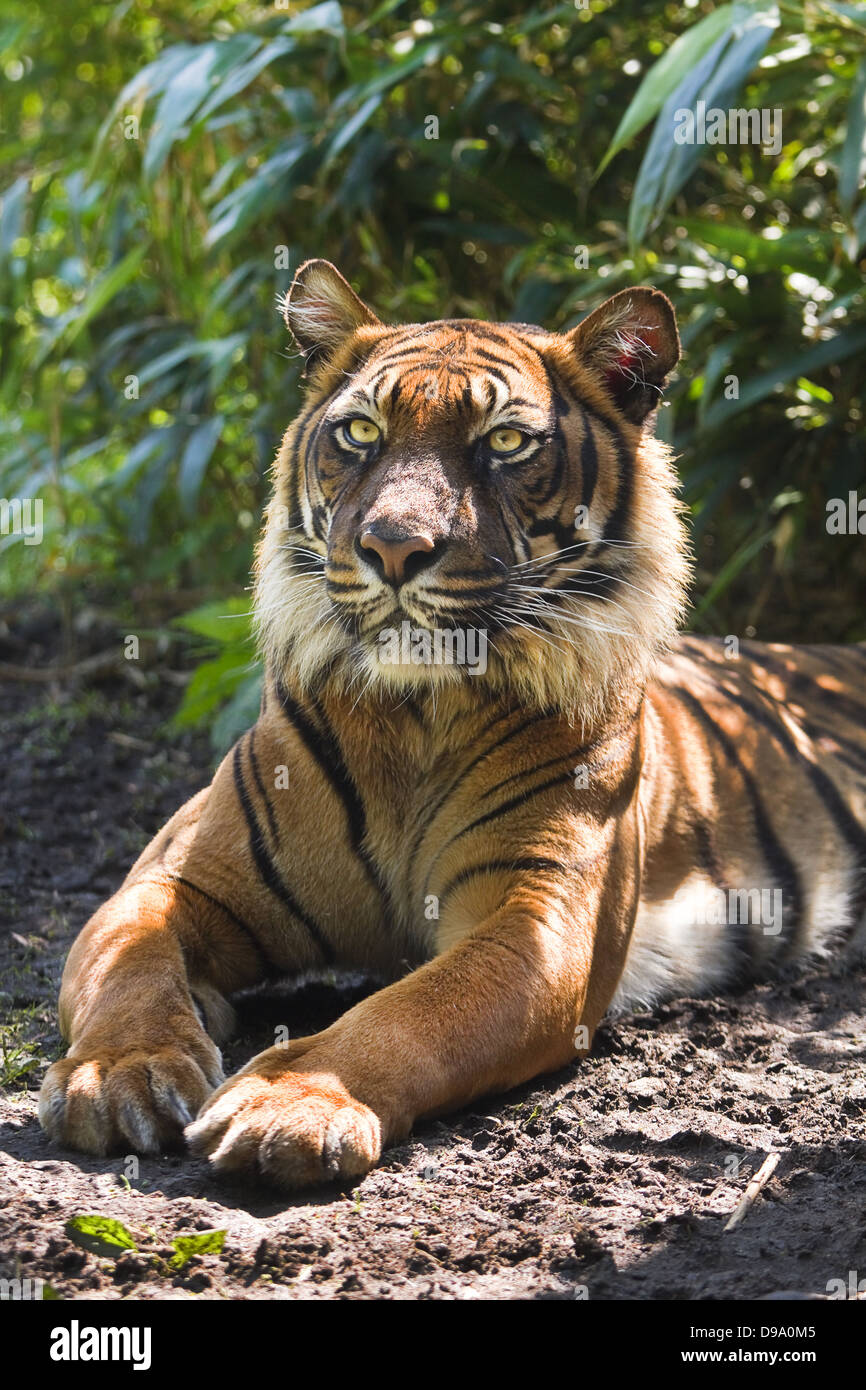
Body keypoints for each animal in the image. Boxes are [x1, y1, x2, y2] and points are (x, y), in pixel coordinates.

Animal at [37, 258, 866, 1184]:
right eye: (361, 431)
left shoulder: (535, 921)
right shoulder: (176, 876)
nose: (394, 546)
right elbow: (130, 962)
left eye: (505, 443)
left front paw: (292, 1100)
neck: (416, 714)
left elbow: (412, 1011)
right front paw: (123, 1072)